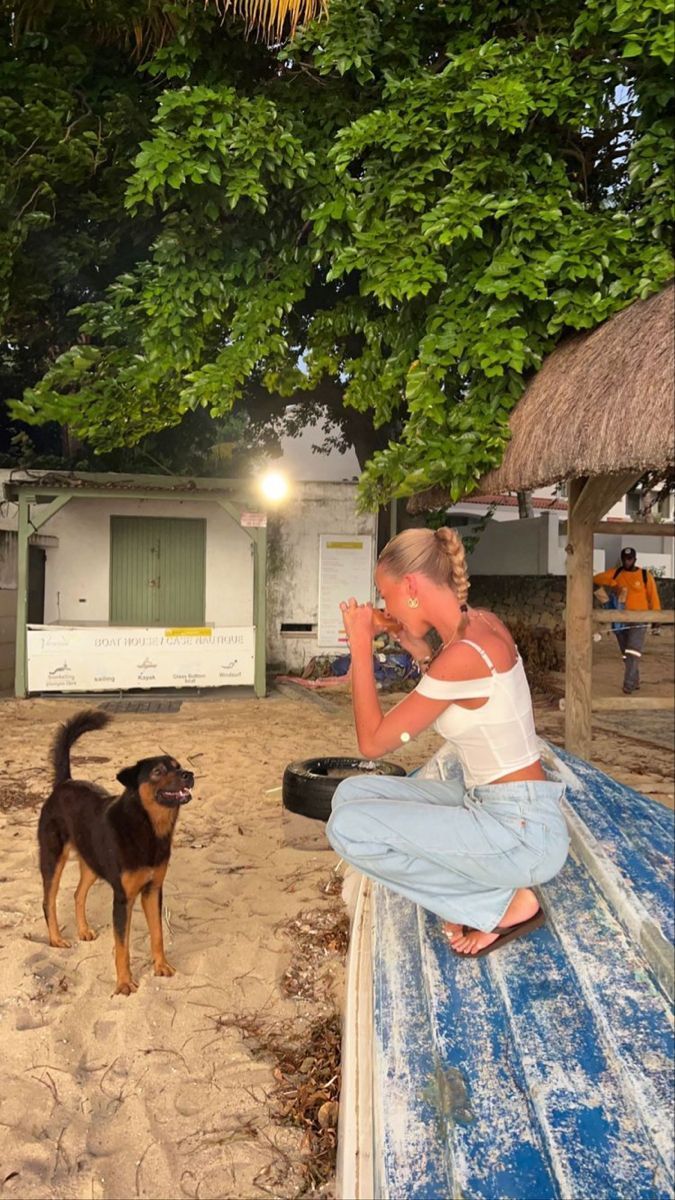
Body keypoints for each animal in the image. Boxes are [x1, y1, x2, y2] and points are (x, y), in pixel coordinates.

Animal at [37, 710, 192, 993]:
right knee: (48, 901)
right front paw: (124, 983)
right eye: (158, 771)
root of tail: (64, 783)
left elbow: (158, 934)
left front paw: (161, 966)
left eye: (178, 766)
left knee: (78, 894)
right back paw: (56, 939)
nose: (189, 774)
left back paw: (83, 930)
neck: (148, 826)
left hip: (91, 861)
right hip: (53, 859)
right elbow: (122, 946)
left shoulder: (153, 891)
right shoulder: (123, 898)